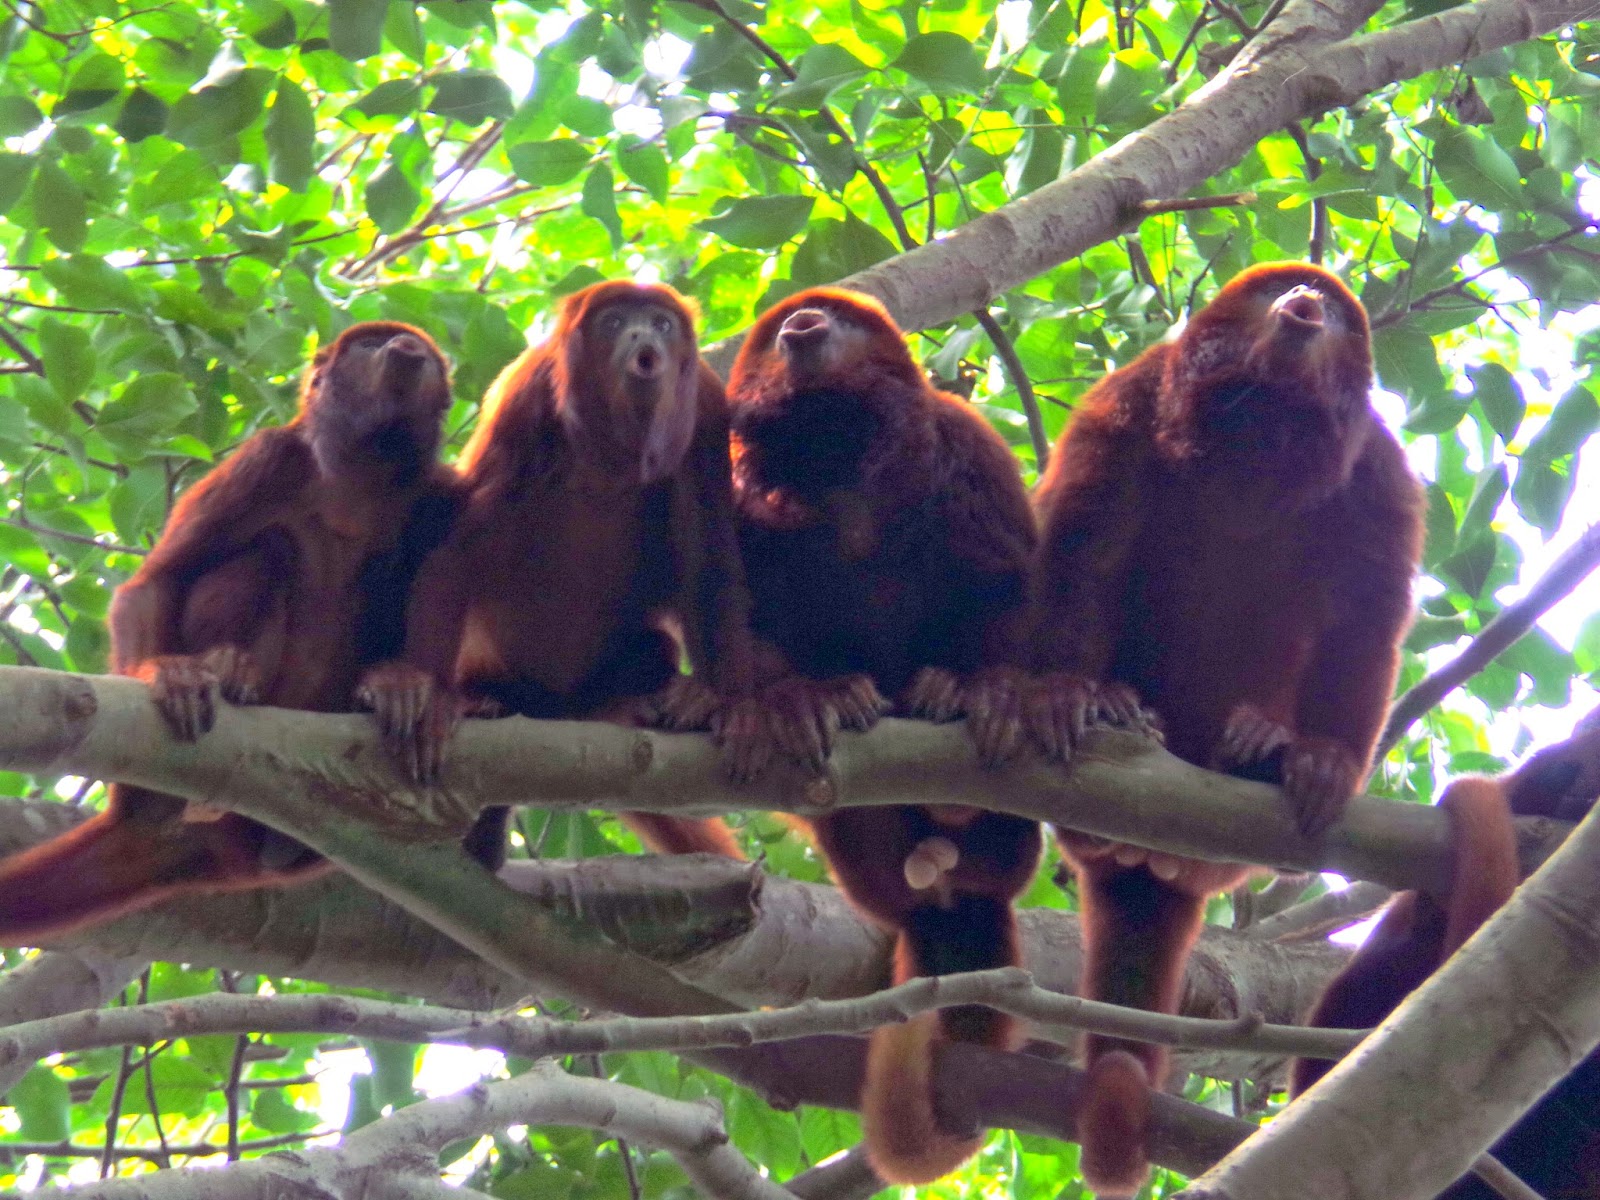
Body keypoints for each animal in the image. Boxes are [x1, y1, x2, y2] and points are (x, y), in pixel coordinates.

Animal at [0, 322, 477, 941]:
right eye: (371, 346)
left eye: (418, 350)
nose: (406, 350)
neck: (362, 477)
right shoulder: (267, 457)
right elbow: (159, 582)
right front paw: (169, 673)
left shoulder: (445, 493)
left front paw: (416, 694)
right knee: (268, 548)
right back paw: (228, 672)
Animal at [359, 281, 755, 863]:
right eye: (615, 323)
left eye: (661, 324)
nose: (641, 335)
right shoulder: (526, 398)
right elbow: (457, 551)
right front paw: (425, 703)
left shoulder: (704, 406)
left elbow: (707, 552)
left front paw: (716, 699)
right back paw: (485, 707)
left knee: (654, 647)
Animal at [724, 286, 1044, 1184]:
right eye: (782, 325)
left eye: (838, 319)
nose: (803, 326)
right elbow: (739, 623)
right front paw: (797, 701)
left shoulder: (962, 441)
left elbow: (1008, 583)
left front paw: (986, 692)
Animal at [1028, 263, 1426, 1196]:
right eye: (1275, 290)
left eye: (1335, 313)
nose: (1302, 305)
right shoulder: (1128, 400)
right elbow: (1082, 542)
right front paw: (1066, 694)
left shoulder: (1378, 469)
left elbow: (1367, 618)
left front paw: (1325, 763)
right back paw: (1114, 732)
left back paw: (1258, 754)